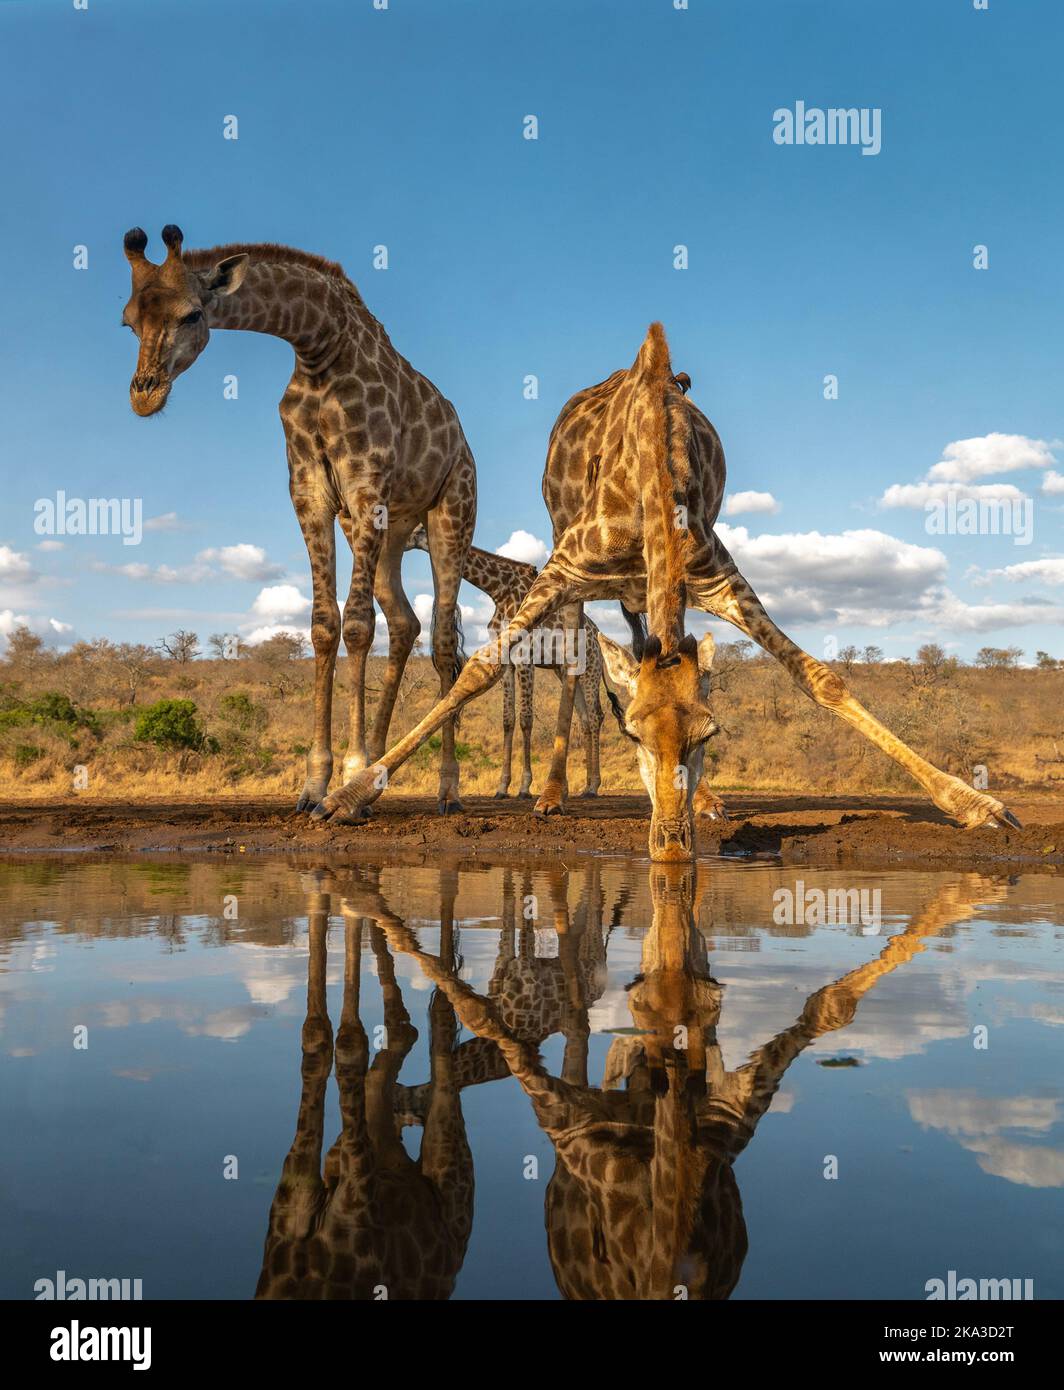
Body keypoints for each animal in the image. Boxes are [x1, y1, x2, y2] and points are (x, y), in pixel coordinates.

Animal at [121, 225, 476, 814]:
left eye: (192, 314)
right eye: (128, 320)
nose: (144, 394)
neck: (318, 346)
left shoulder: (364, 484)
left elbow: (357, 625)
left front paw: (348, 773)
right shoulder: (309, 490)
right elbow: (323, 624)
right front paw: (319, 786)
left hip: (452, 511)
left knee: (444, 638)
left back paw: (446, 789)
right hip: (392, 528)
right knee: (405, 621)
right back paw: (374, 779)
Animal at [255, 867, 474, 1299]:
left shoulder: (358, 1196)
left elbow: (350, 1040)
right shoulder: (298, 1196)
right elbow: (315, 1033)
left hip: (450, 1165)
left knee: (441, 1022)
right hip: (372, 1139)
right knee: (402, 1034)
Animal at [406, 525, 605, 797]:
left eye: (416, 531)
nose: (400, 542)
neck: (498, 591)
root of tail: (598, 638)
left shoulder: (524, 657)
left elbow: (526, 719)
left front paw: (524, 786)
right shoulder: (507, 662)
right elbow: (508, 720)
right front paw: (502, 787)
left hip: (591, 671)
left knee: (596, 717)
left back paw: (594, 786)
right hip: (565, 672)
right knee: (584, 719)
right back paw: (579, 787)